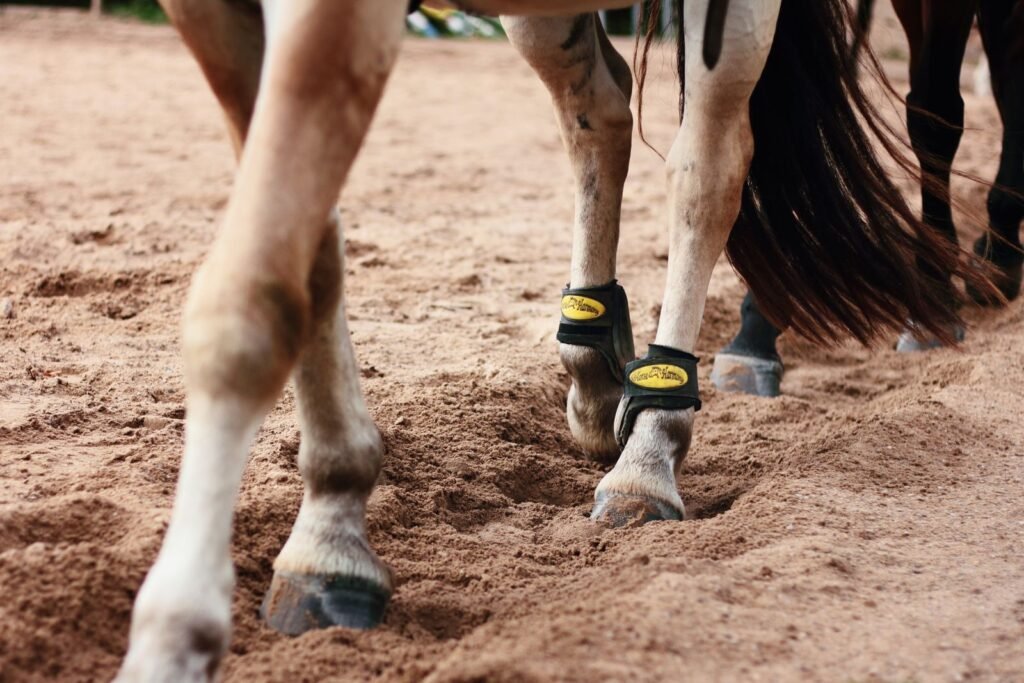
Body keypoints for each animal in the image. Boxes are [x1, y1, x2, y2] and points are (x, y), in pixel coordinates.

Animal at [114, 1, 986, 680]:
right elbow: (309, 261)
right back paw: (598, 370)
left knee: (715, 163)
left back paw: (654, 447)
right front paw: (330, 528)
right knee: (597, 103)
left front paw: (177, 634)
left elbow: (253, 302)